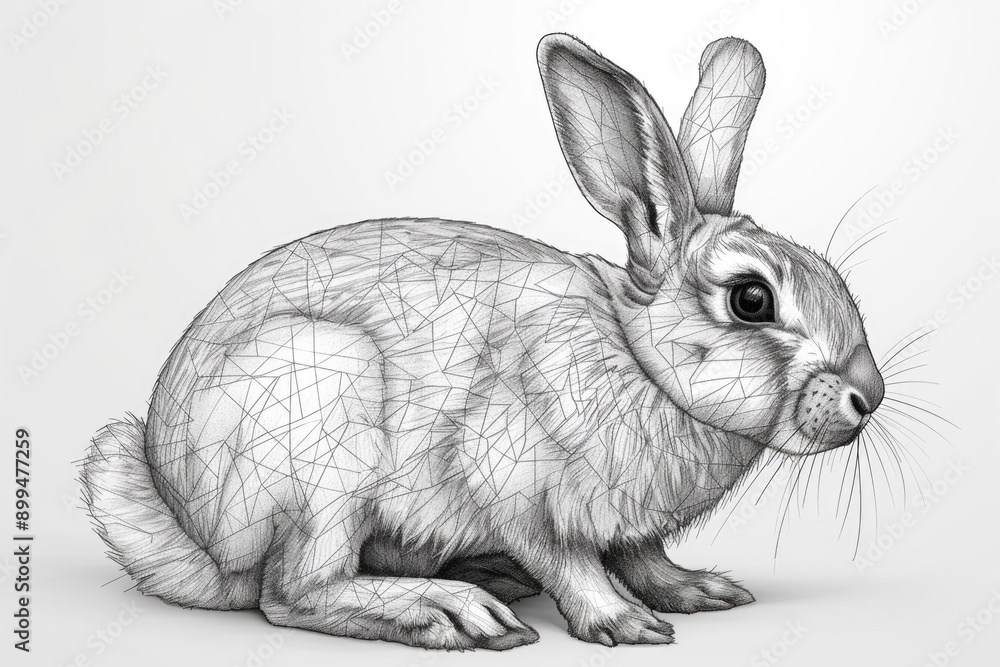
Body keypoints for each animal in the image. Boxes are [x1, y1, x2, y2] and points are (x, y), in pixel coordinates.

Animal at [81, 33, 885, 650]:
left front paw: (698, 590)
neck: (637, 359)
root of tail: (192, 530)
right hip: (319, 424)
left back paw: (484, 578)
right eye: (751, 298)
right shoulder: (516, 483)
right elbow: (571, 562)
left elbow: (644, 554)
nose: (867, 397)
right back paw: (451, 612)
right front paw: (624, 624)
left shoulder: (627, 520)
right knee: (291, 591)